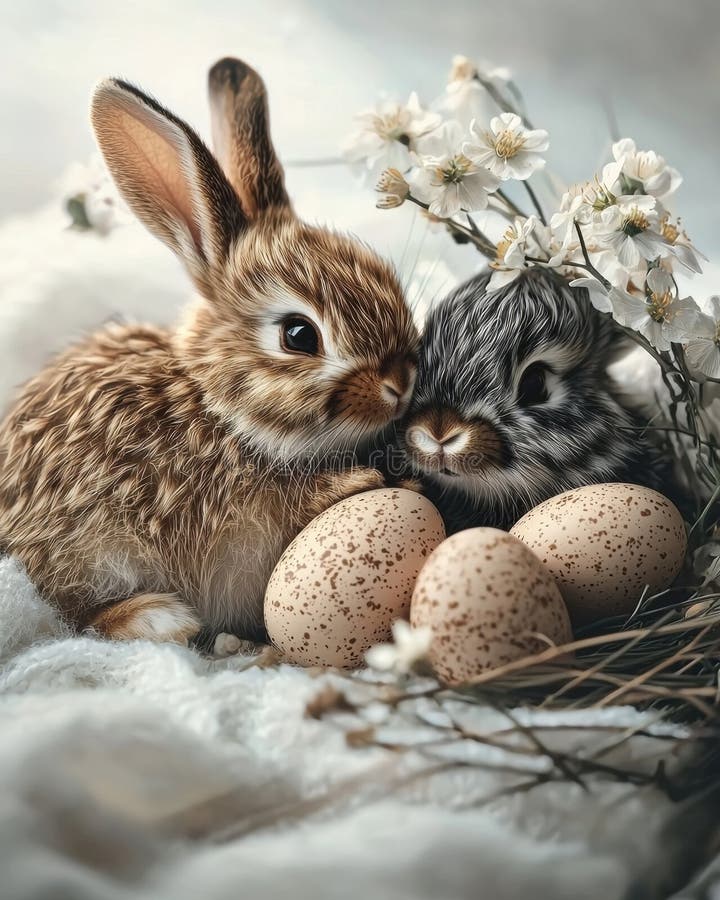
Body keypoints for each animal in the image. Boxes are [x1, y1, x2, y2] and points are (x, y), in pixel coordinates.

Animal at [0, 58, 419, 644]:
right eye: (299, 335)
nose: (400, 385)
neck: (216, 407)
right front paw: (365, 480)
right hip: (89, 552)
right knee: (72, 614)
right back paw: (157, 618)